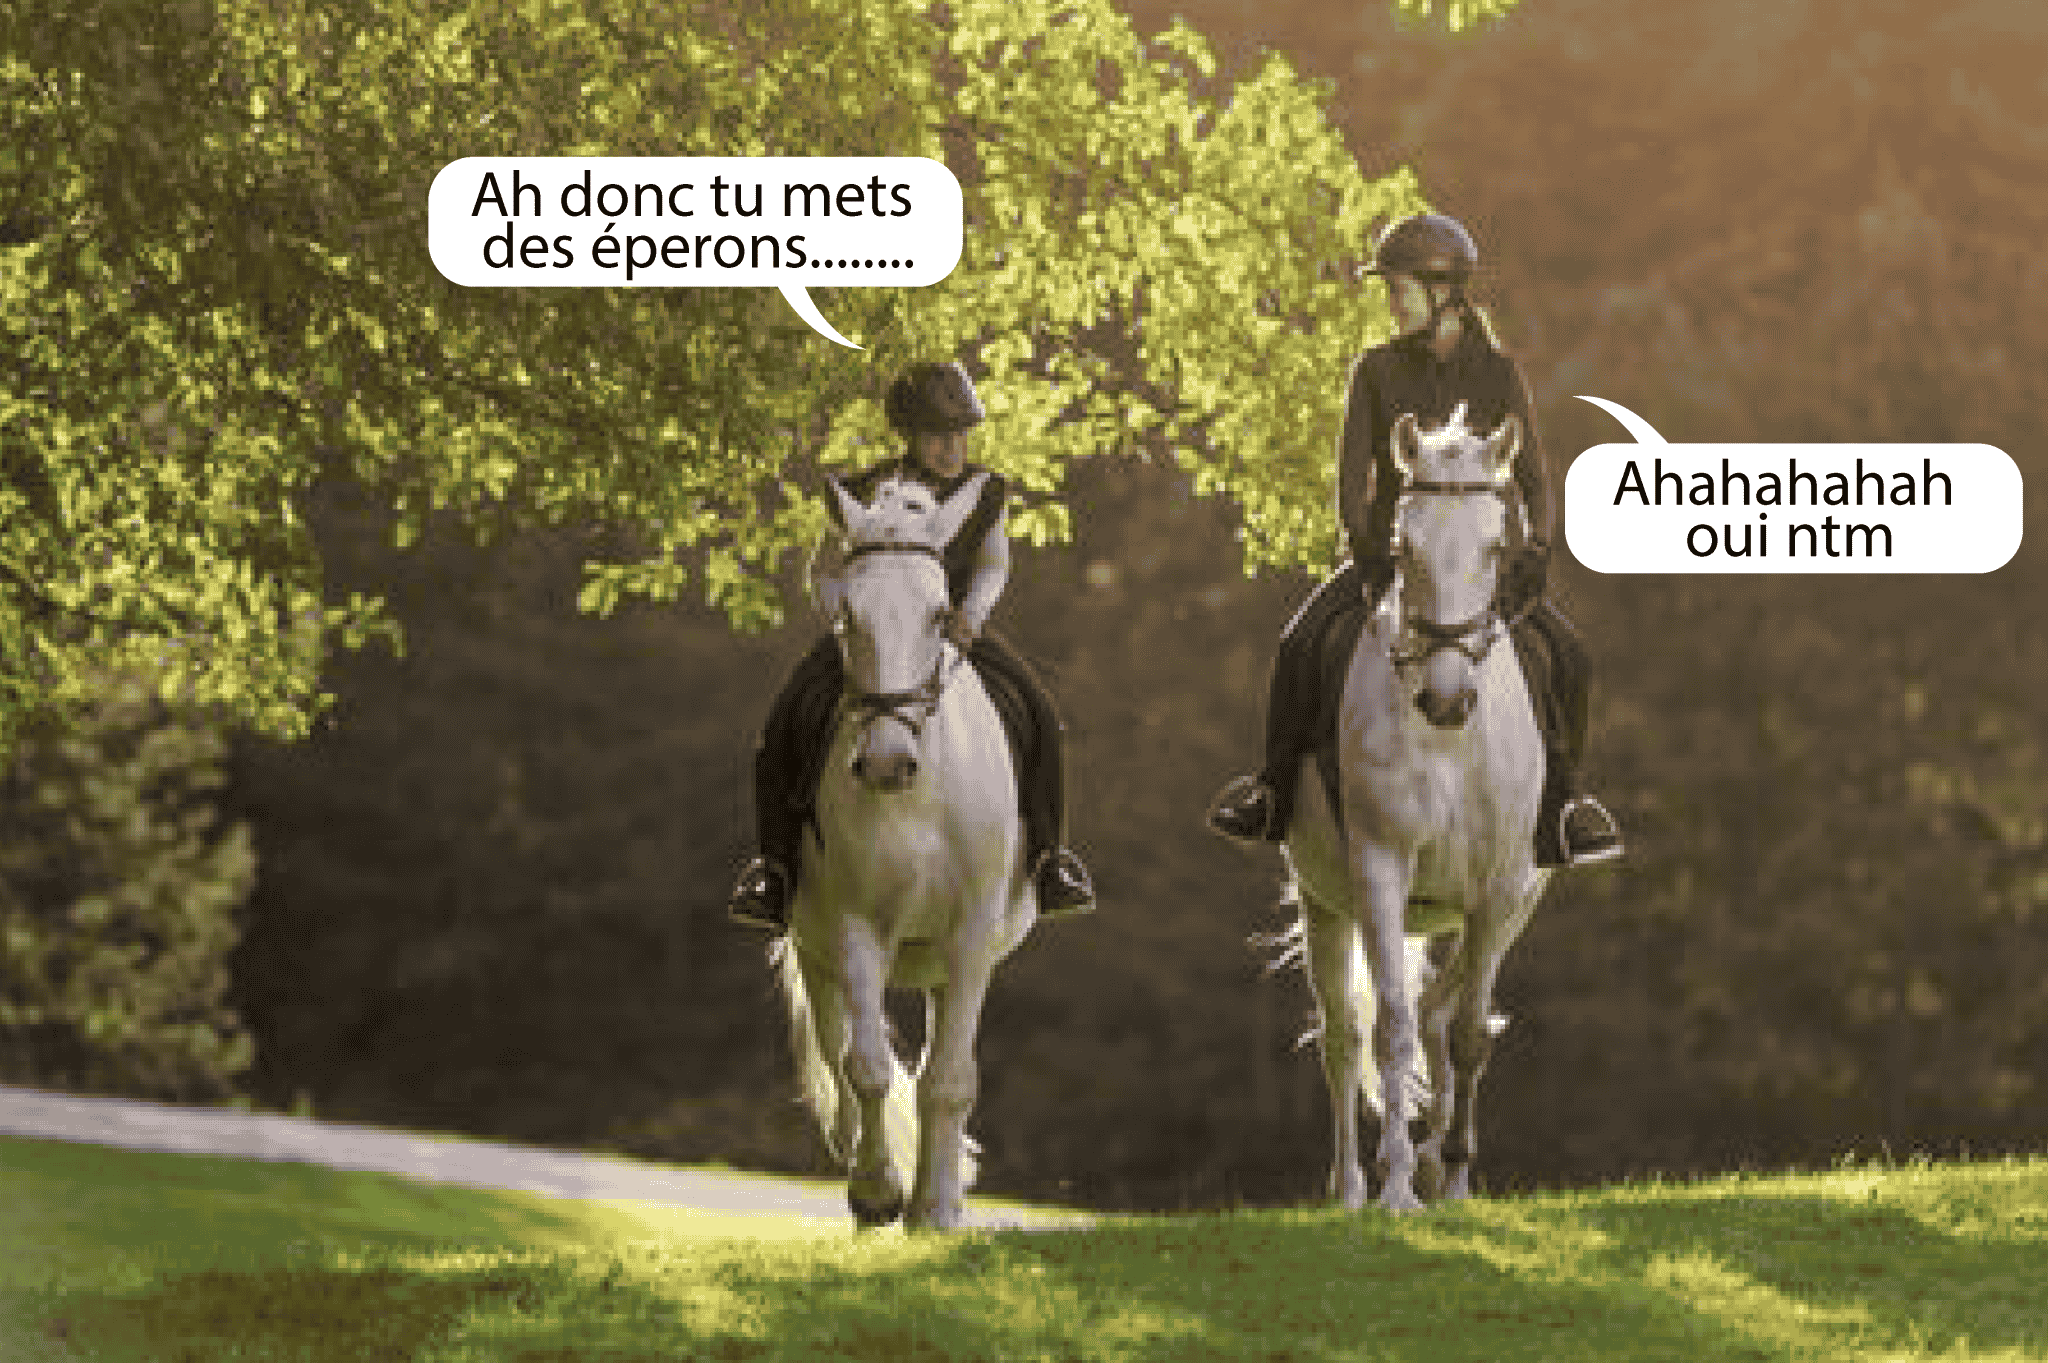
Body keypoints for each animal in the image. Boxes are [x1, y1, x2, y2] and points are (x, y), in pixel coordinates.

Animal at [771, 470, 1038, 1231]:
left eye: (939, 613)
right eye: (850, 618)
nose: (888, 763)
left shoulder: (971, 936)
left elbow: (948, 1080)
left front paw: (938, 1208)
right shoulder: (855, 927)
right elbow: (864, 1066)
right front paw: (876, 1192)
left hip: (947, 964)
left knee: (935, 1067)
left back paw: (930, 1195)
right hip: (816, 947)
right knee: (838, 1047)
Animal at [1279, 400, 1554, 1213]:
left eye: (1497, 546)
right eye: (1404, 546)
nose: (1445, 698)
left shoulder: (1499, 891)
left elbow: (1466, 1034)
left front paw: (1453, 1171)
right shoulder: (1379, 875)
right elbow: (1392, 1029)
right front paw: (1397, 1184)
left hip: (1505, 905)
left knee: (1443, 1011)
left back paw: (1438, 1162)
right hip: (1323, 901)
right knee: (1343, 1036)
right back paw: (1350, 1187)